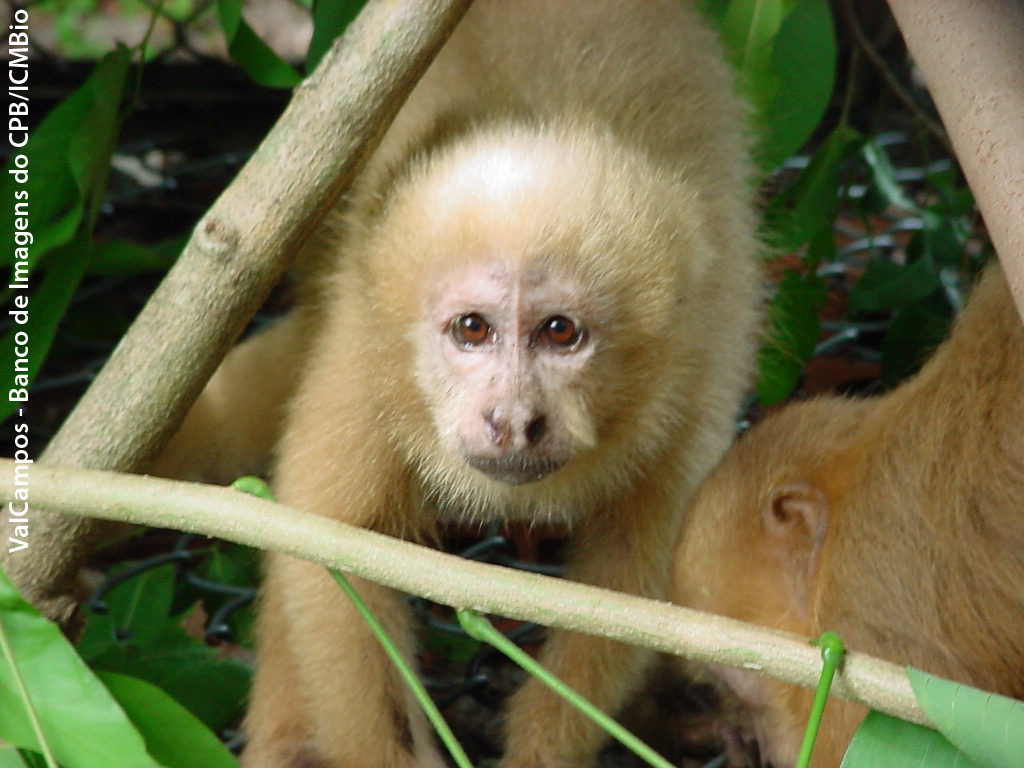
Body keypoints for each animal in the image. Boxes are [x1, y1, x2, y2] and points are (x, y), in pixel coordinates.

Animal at [155, 1, 761, 766]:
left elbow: (631, 592)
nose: (513, 419)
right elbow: (332, 554)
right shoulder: (366, 352)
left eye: (561, 332)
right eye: (472, 330)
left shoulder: (695, 370)